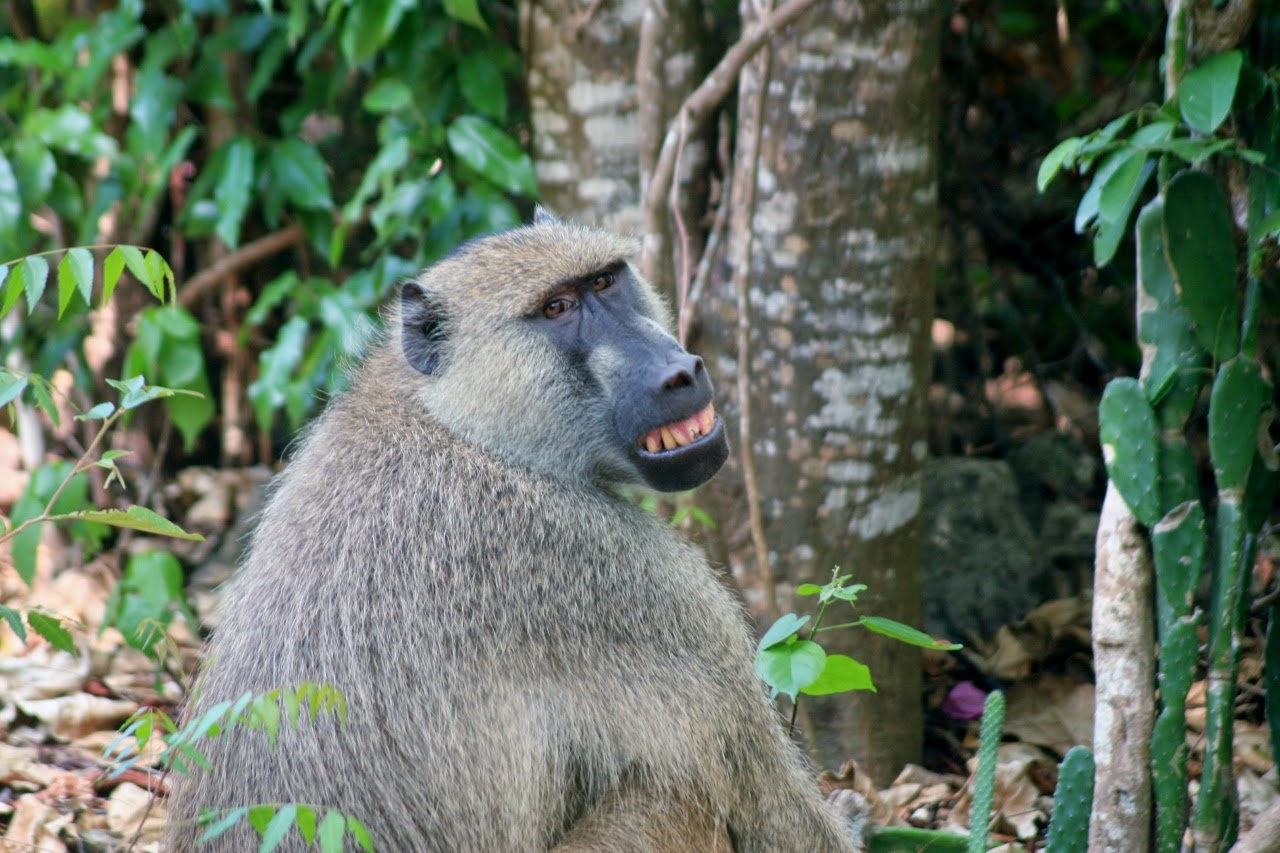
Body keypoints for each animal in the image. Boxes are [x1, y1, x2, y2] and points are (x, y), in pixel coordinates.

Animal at [163, 210, 863, 852]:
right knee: (677, 794)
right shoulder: (616, 577)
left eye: (605, 281)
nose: (677, 372)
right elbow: (773, 808)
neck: (462, 423)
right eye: (556, 308)